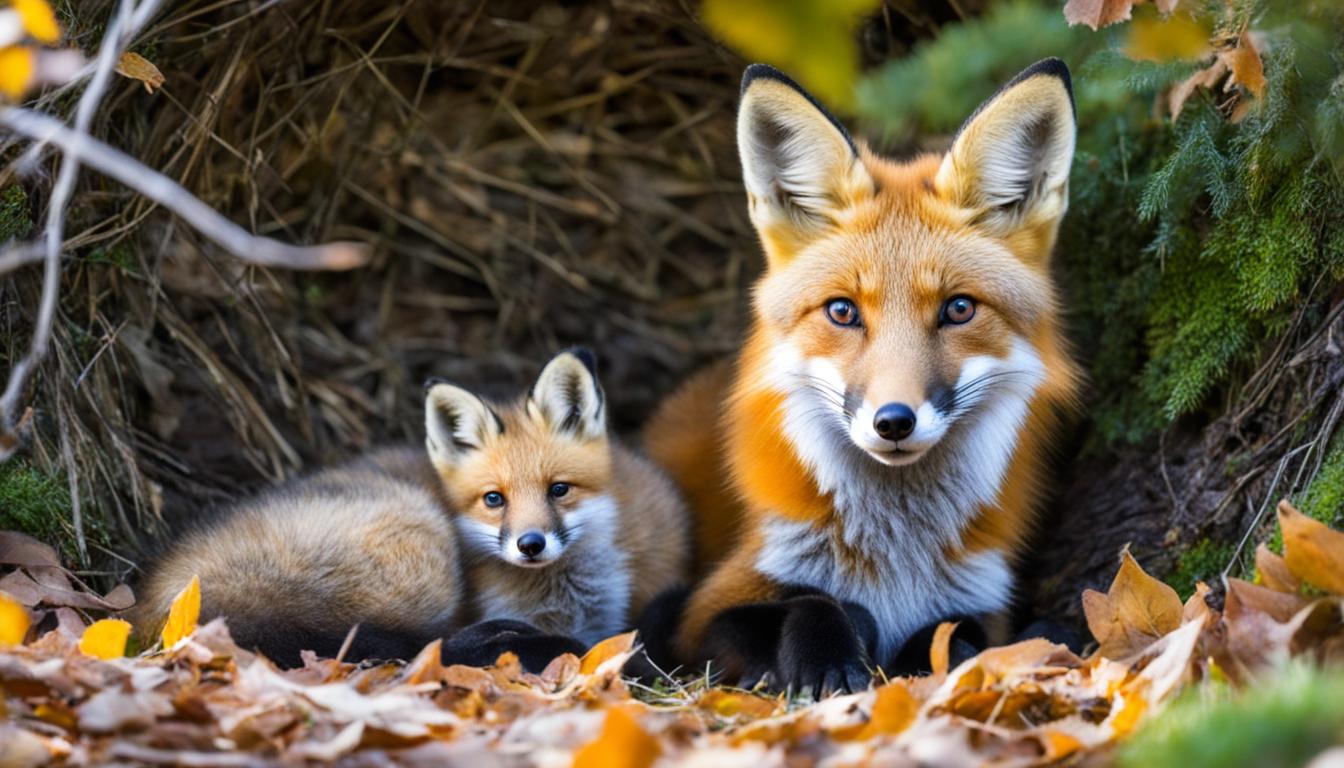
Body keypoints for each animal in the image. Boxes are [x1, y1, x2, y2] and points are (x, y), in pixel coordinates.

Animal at [642, 59, 1083, 693]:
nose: (893, 421)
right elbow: (816, 603)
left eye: (958, 309)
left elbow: (956, 634)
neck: (898, 558)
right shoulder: (703, 615)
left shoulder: (982, 601)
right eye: (843, 312)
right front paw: (830, 661)